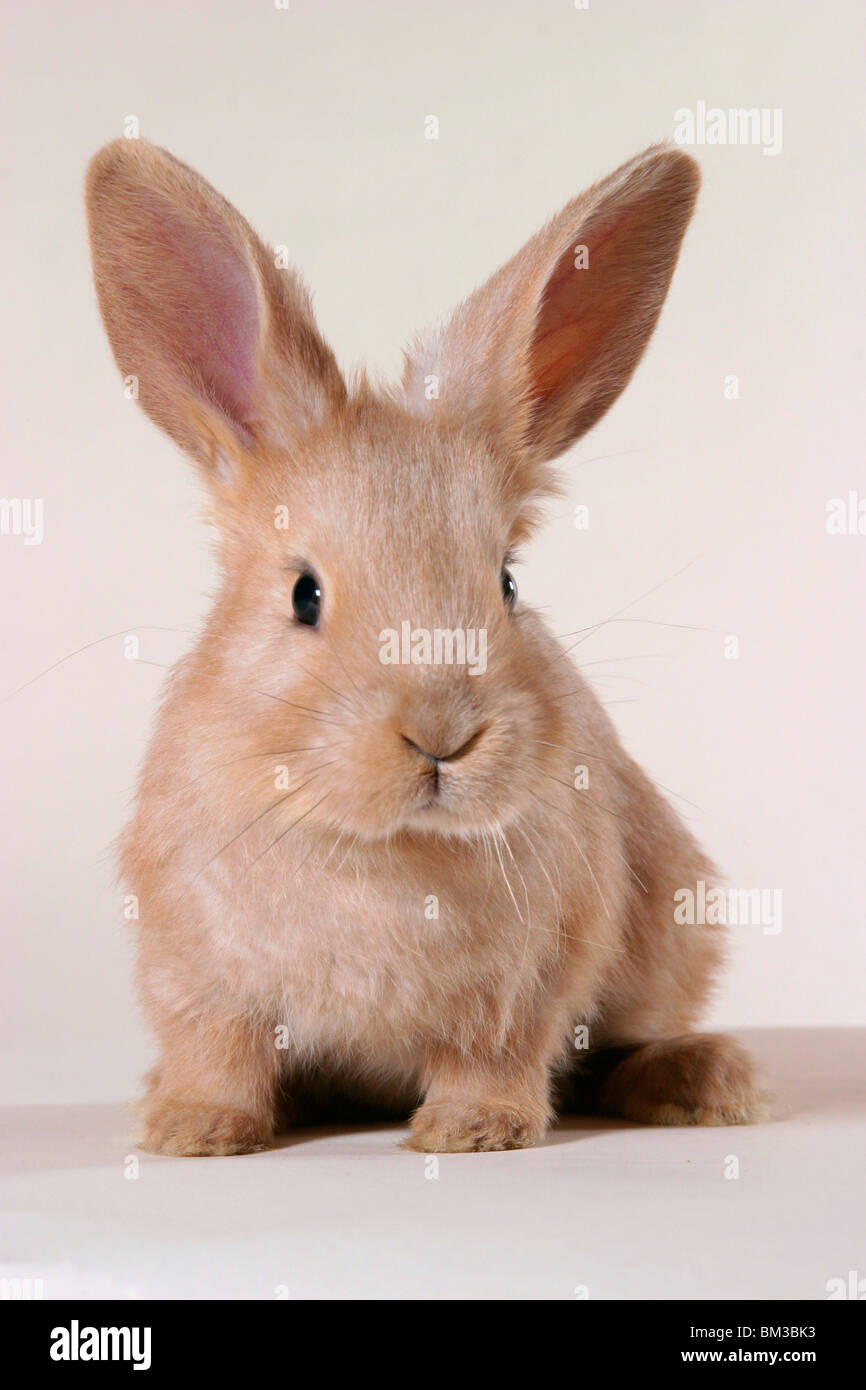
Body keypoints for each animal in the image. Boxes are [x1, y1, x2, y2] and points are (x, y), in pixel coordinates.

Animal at [85, 137, 764, 1156]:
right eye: (304, 594)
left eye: (507, 583)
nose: (442, 736)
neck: (380, 849)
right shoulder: (200, 980)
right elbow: (220, 1054)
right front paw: (193, 1130)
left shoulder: (526, 987)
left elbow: (494, 1058)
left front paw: (473, 1133)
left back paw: (707, 1081)